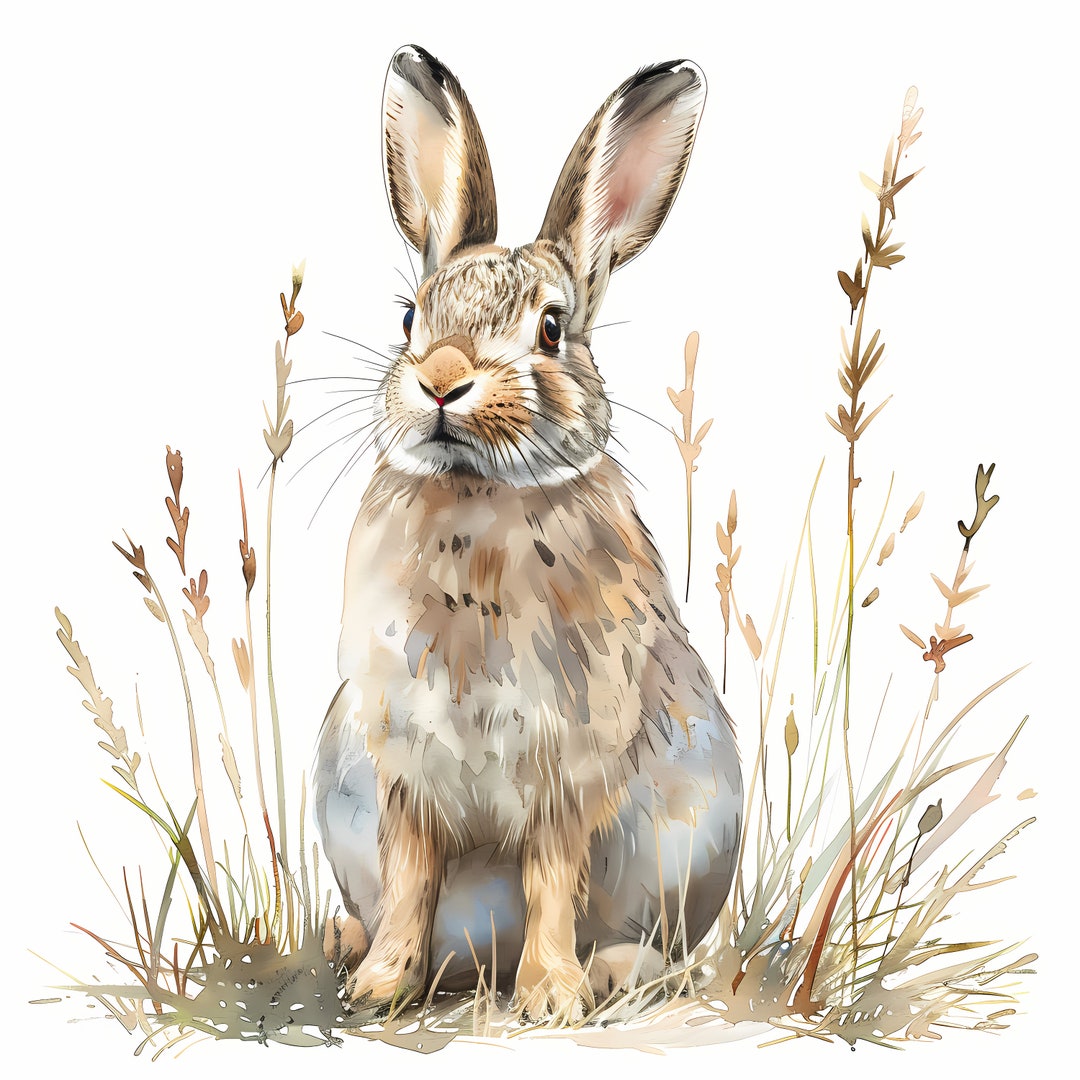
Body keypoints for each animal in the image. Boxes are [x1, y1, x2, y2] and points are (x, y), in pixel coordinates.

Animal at [313, 44, 742, 1020]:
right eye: (411, 316)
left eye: (551, 328)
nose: (440, 379)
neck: (478, 492)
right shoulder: (403, 771)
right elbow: (410, 879)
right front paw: (380, 984)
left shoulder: (569, 767)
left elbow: (553, 879)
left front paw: (550, 998)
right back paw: (350, 944)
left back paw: (611, 973)